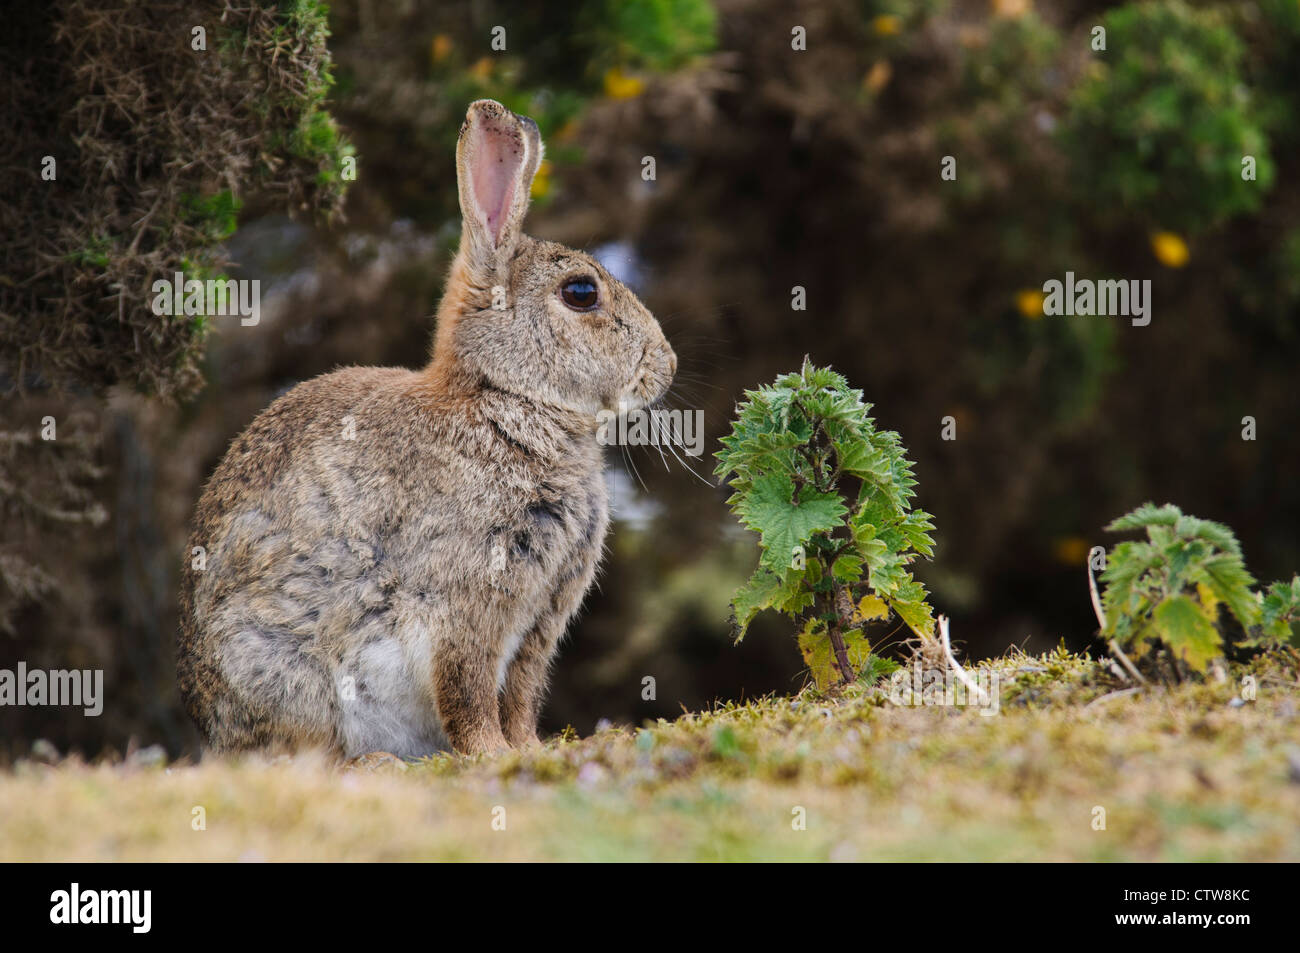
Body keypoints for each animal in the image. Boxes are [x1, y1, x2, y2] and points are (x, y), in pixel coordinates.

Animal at [177, 99, 676, 759]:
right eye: (580, 293)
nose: (667, 366)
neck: (502, 401)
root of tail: (211, 731)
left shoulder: (540, 623)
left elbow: (521, 695)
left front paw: (530, 750)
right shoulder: (467, 604)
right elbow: (469, 690)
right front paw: (491, 755)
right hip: (279, 668)